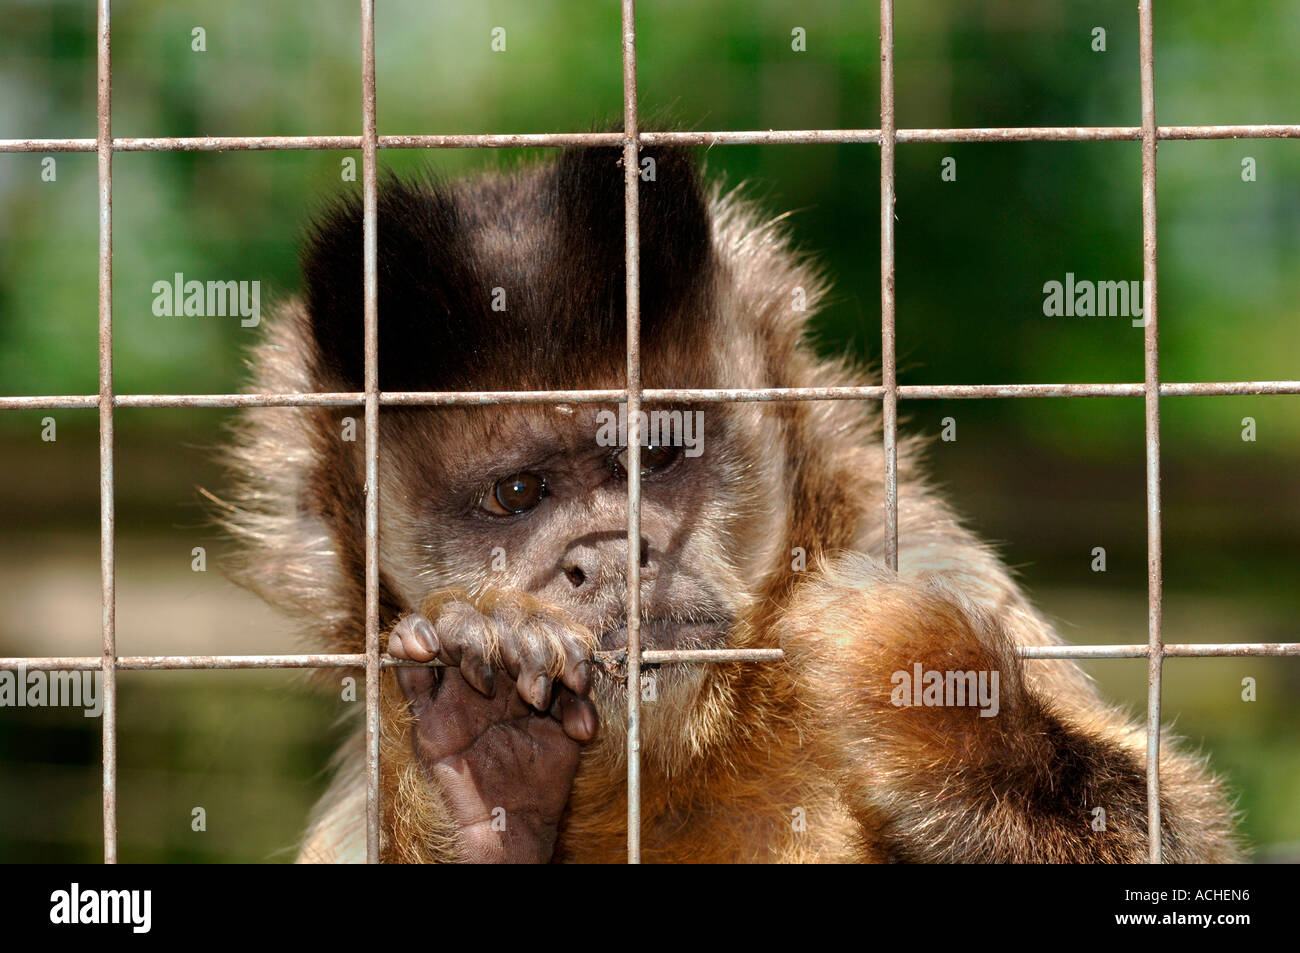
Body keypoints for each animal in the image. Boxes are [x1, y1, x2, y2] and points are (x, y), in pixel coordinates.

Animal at [218, 143, 1241, 863]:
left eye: (654, 454)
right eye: (518, 493)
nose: (612, 550)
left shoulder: (912, 544)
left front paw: (911, 668)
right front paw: (486, 753)